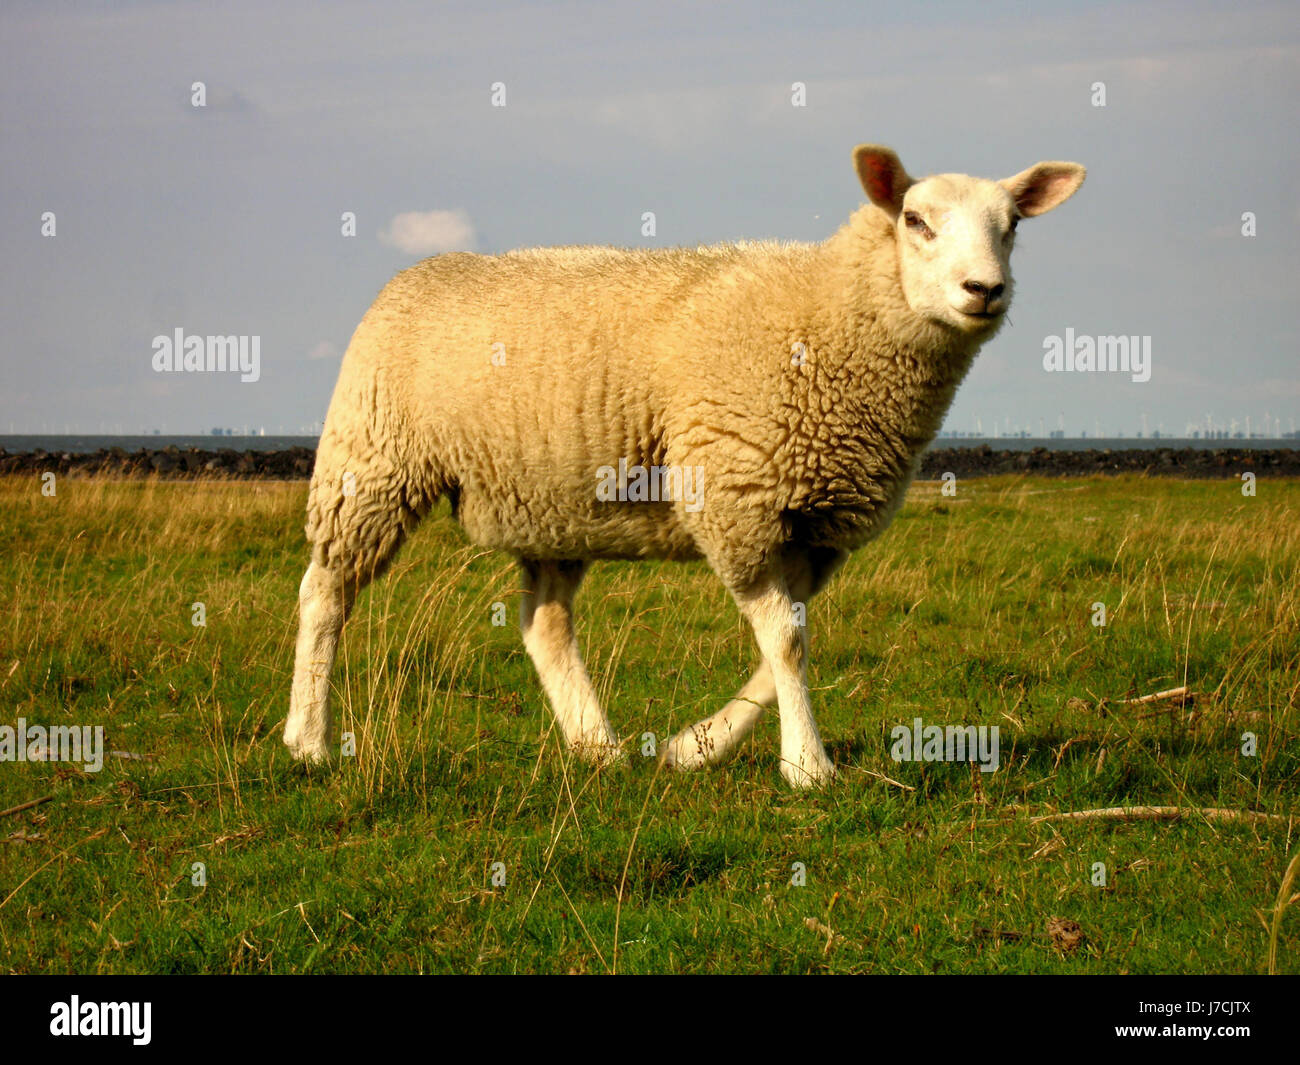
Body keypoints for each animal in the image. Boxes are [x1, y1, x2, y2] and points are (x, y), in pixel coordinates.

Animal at [284, 144, 1085, 788]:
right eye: (916, 221)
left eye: (1013, 226)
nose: (985, 290)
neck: (829, 319)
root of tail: (417, 270)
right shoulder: (740, 502)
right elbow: (786, 642)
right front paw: (808, 767)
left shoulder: (815, 529)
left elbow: (781, 647)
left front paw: (694, 747)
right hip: (371, 463)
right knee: (325, 593)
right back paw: (308, 740)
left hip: (550, 501)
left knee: (544, 623)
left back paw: (597, 746)